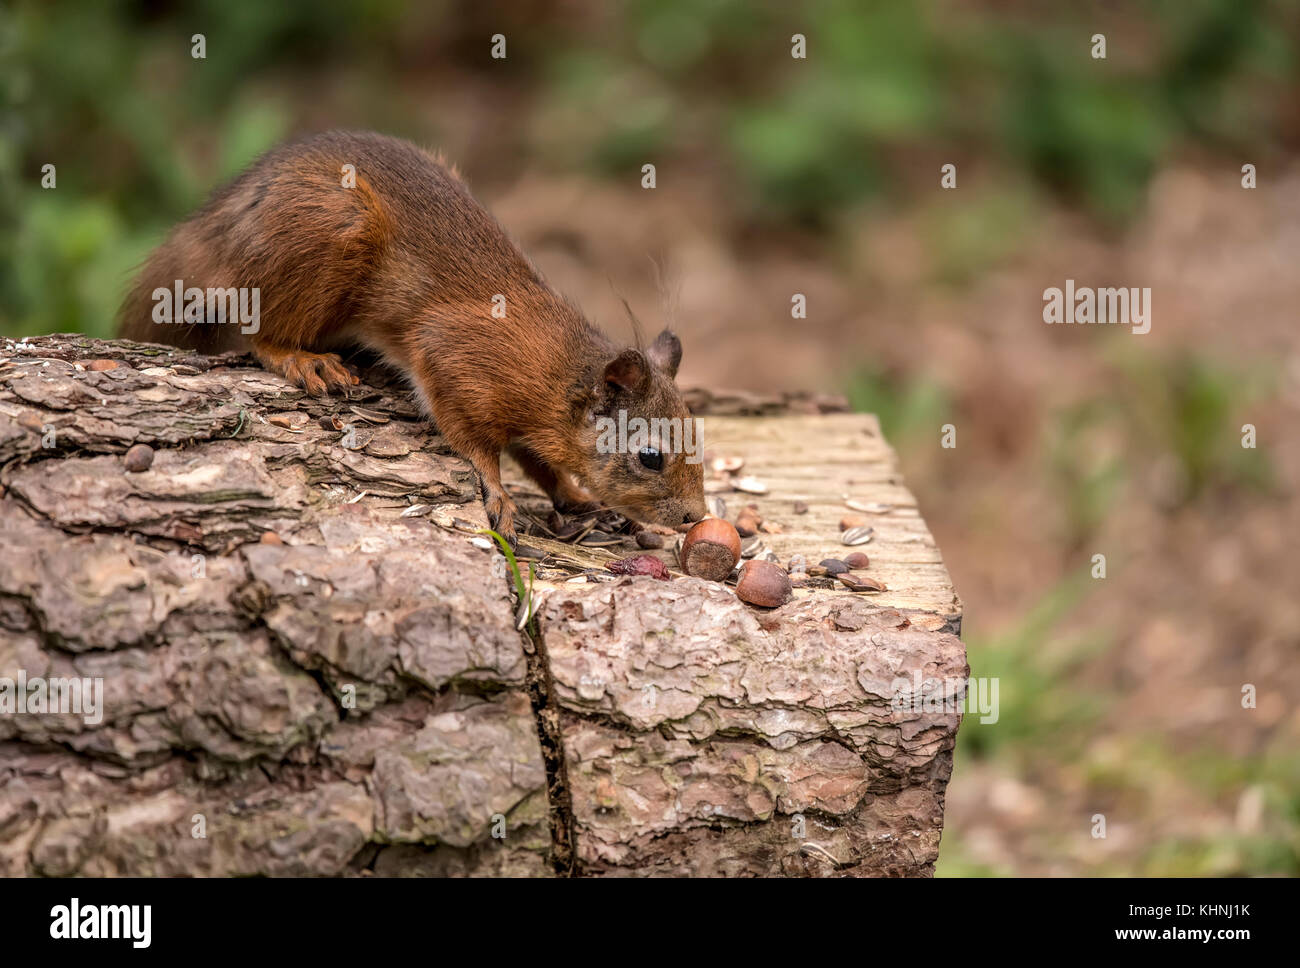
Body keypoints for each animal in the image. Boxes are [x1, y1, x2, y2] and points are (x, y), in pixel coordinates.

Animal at [118, 130, 706, 544]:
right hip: (327, 232)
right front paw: (497, 492)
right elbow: (474, 441)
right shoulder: (453, 357)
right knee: (260, 334)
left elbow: (537, 462)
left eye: (697, 435)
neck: (561, 376)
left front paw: (574, 495)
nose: (694, 516)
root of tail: (214, 229)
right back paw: (303, 359)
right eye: (650, 457)